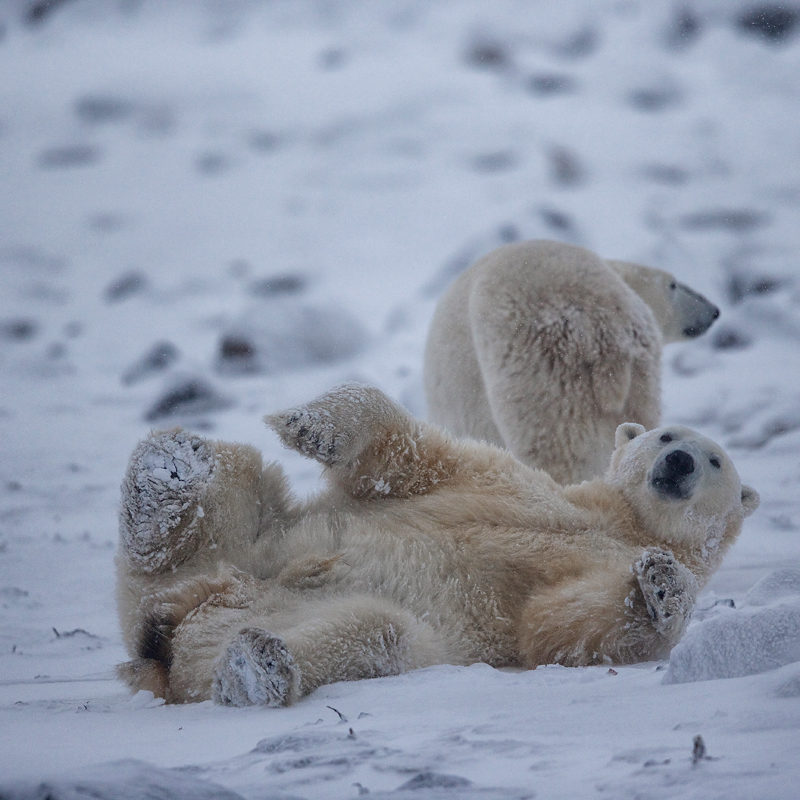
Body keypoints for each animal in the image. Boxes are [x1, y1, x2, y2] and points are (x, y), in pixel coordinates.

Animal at [115, 383, 758, 706]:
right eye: (667, 435)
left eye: (716, 460)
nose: (679, 462)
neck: (619, 520)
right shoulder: (511, 481)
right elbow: (413, 456)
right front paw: (310, 424)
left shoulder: (595, 560)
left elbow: (563, 624)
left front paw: (662, 584)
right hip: (248, 546)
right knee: (243, 483)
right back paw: (169, 467)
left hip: (247, 612)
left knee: (371, 632)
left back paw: (257, 667)